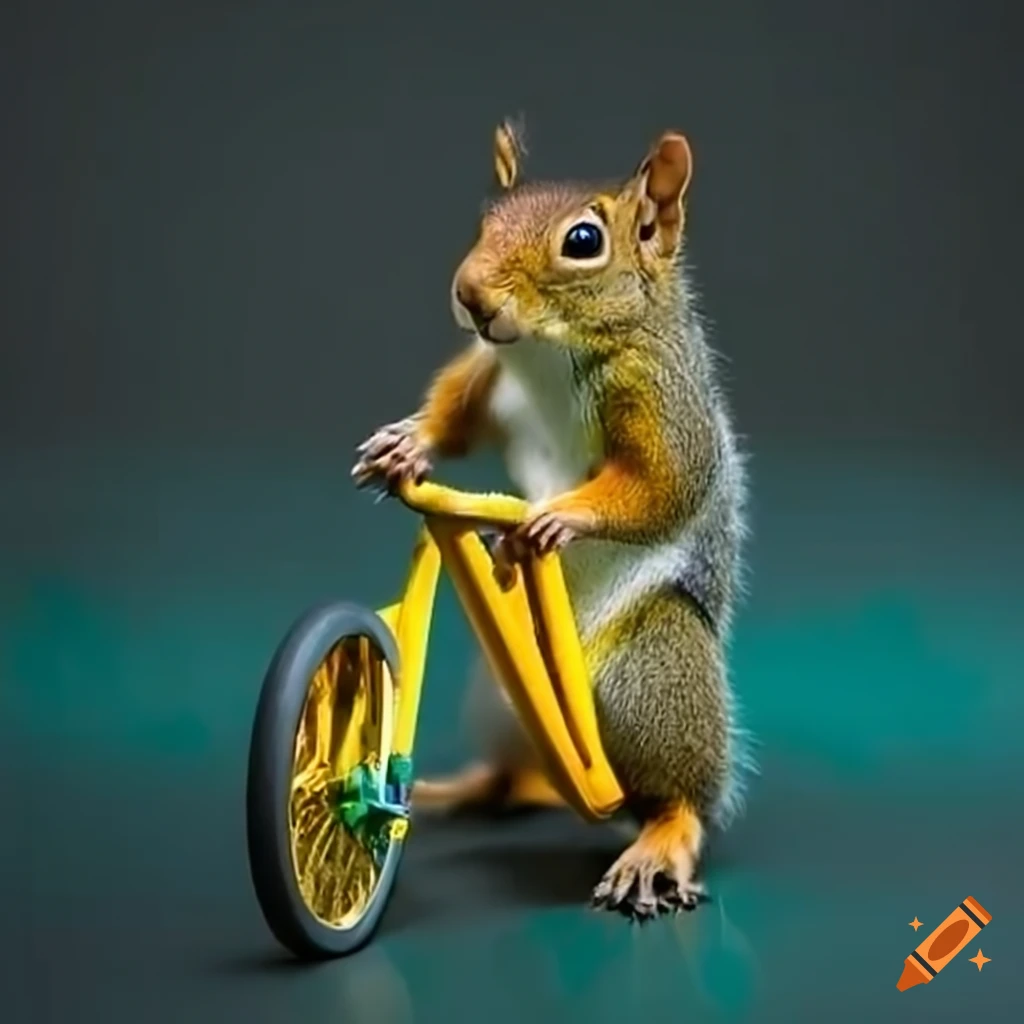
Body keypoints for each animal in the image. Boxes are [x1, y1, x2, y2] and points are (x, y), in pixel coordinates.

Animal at [352, 119, 750, 919]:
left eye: (583, 240)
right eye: (485, 219)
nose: (470, 292)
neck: (549, 348)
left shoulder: (662, 400)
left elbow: (661, 485)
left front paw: (558, 517)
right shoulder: (486, 372)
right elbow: (455, 412)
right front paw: (407, 444)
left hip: (650, 678)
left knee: (679, 796)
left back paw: (660, 839)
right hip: (497, 699)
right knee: (510, 776)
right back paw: (458, 789)